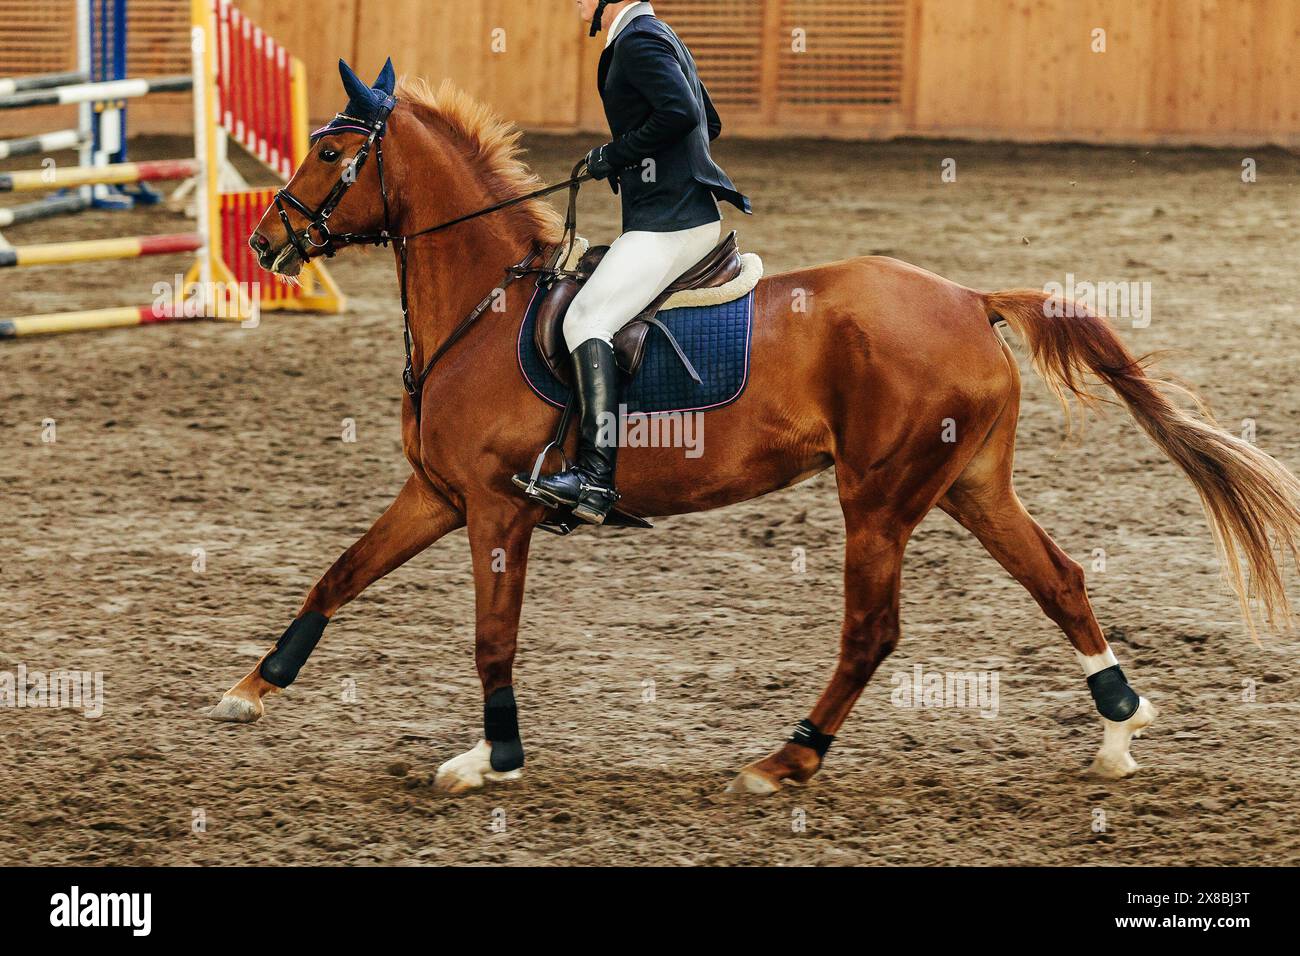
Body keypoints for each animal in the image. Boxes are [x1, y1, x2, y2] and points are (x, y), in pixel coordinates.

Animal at [210, 63, 1300, 795]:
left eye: (333, 152)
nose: (265, 241)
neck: (482, 303)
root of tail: (969, 297)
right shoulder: (437, 493)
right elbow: (339, 573)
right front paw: (252, 689)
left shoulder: (493, 508)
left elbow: (490, 635)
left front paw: (491, 756)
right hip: (968, 484)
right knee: (1059, 577)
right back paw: (1118, 727)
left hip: (878, 496)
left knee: (871, 631)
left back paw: (786, 759)